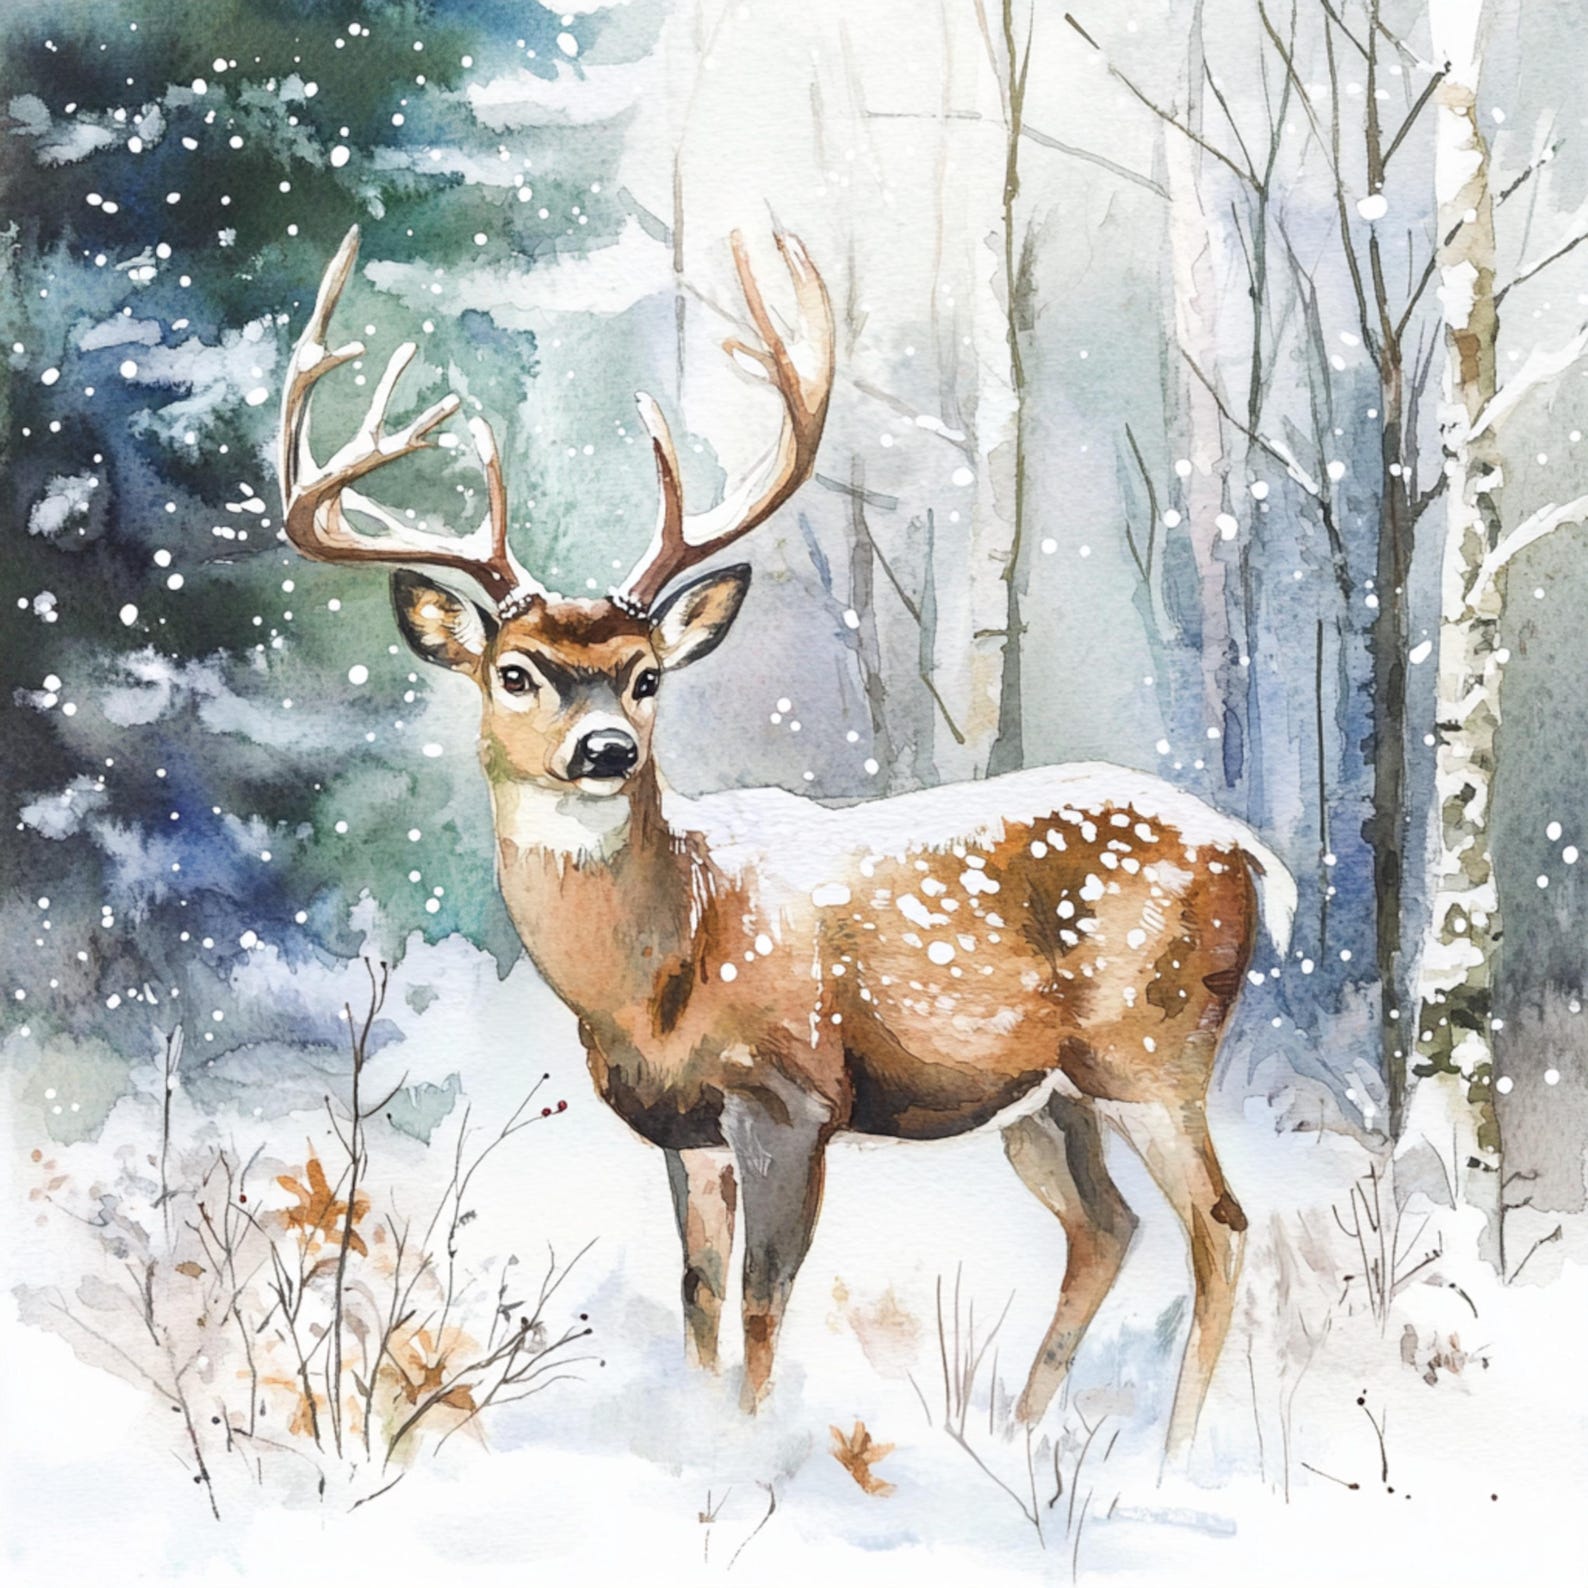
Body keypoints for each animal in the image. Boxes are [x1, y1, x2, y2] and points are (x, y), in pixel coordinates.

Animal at [278, 224, 1295, 1457]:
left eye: (646, 674)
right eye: (514, 671)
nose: (606, 749)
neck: (659, 969)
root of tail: (1250, 853)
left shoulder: (790, 1094)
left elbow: (764, 1299)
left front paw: (756, 1447)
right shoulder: (686, 1128)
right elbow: (698, 1295)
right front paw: (698, 1435)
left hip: (1152, 1044)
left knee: (1219, 1223)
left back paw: (1173, 1452)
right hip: (1045, 1097)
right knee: (1107, 1229)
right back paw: (1019, 1431)